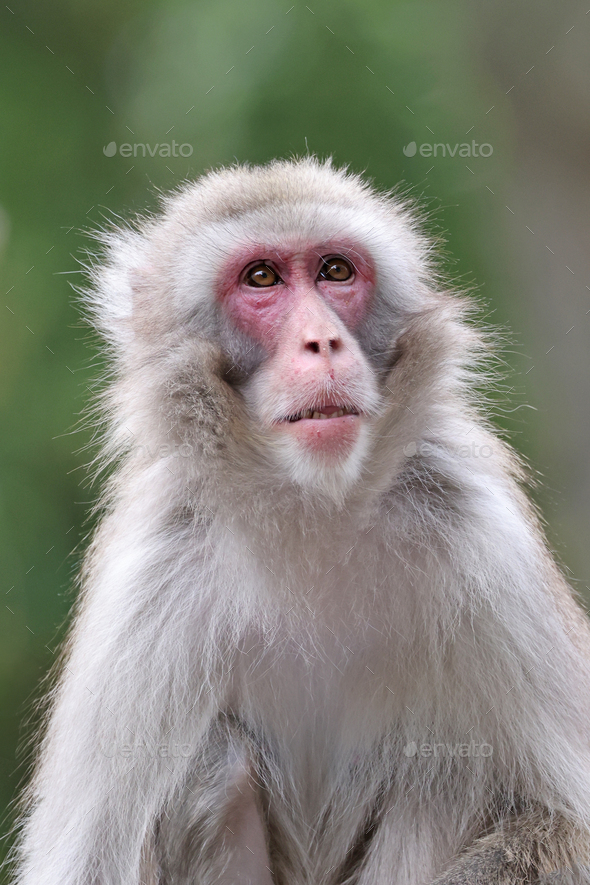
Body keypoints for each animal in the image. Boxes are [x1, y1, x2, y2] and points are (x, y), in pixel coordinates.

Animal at [9, 157, 590, 885]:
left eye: (336, 271)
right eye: (261, 278)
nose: (324, 341)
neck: (311, 507)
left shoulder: (482, 533)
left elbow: (567, 821)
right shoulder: (149, 575)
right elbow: (86, 863)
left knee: (447, 766)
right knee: (216, 761)